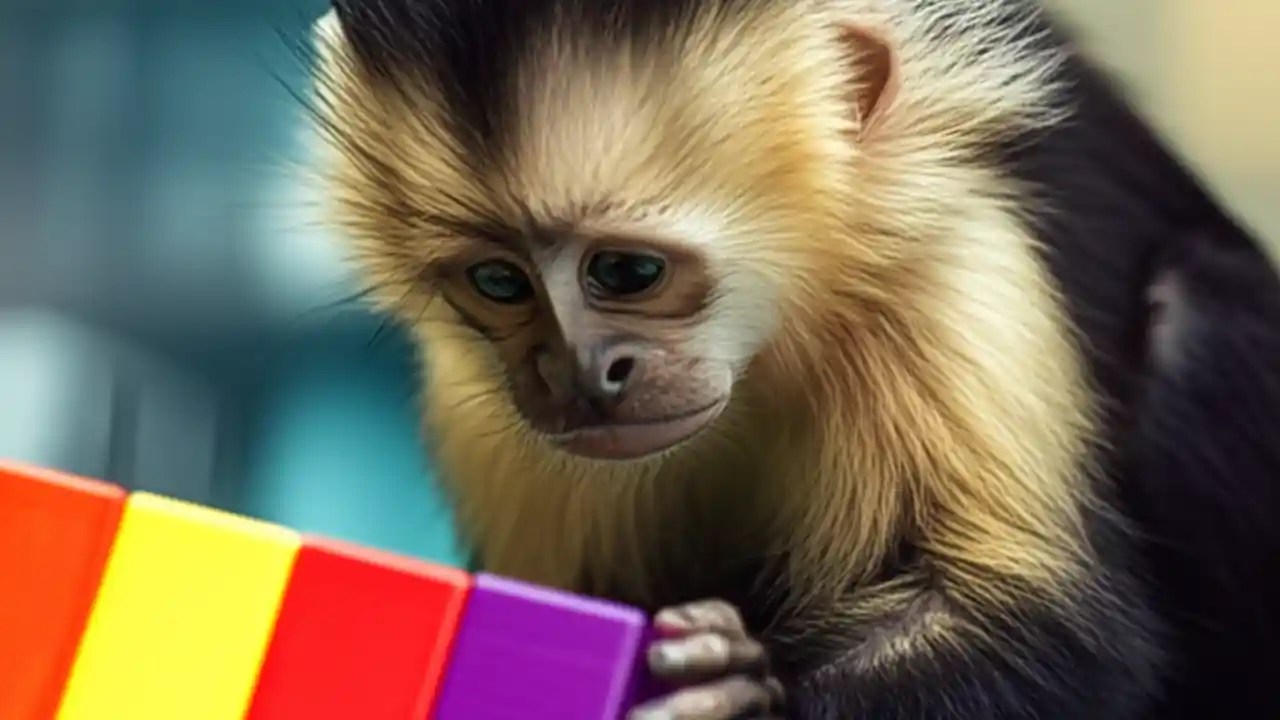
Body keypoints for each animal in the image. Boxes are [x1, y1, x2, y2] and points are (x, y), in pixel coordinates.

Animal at [301, 0, 1280, 717]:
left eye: (627, 272)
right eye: (500, 282)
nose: (578, 374)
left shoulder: (943, 268)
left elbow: (1047, 635)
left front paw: (741, 695)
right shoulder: (480, 400)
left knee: (1197, 319)